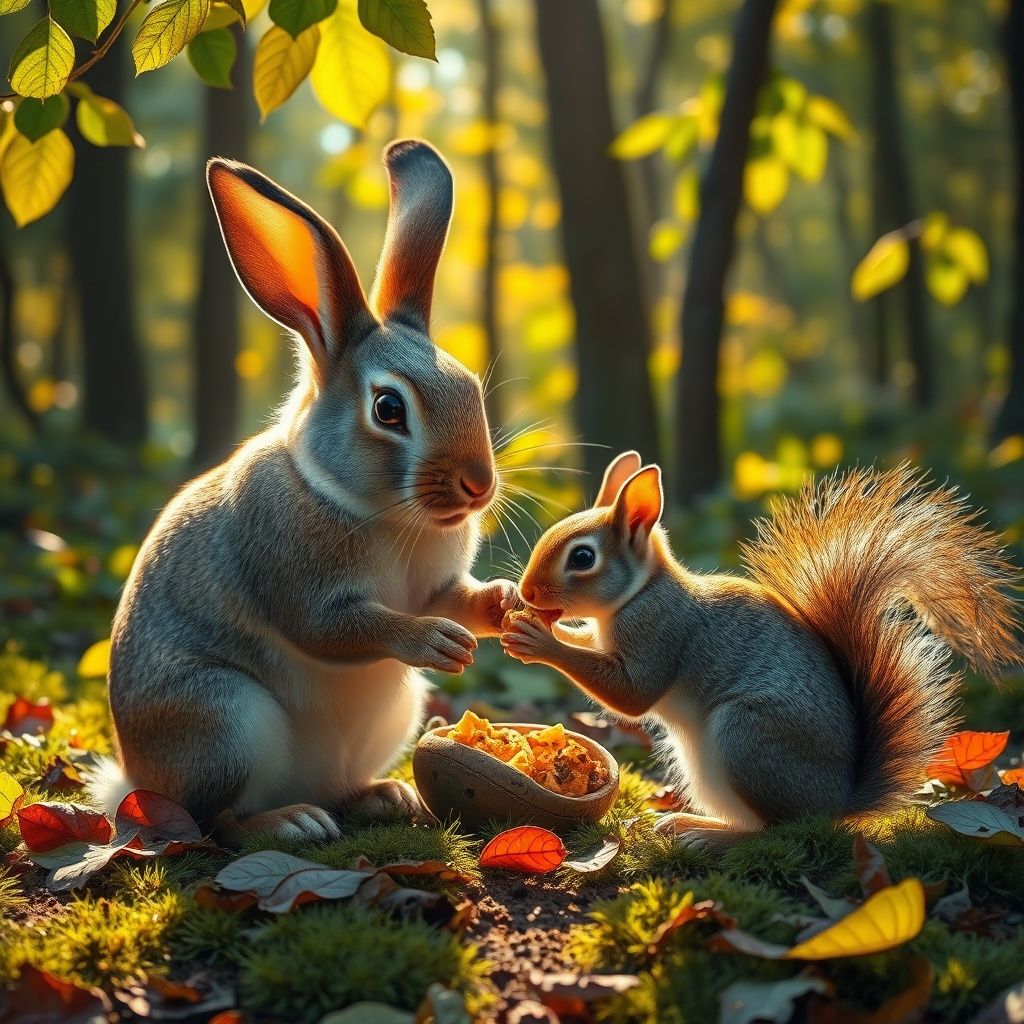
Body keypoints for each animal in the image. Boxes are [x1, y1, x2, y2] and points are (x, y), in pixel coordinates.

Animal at [91, 139, 516, 844]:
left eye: (470, 389)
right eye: (389, 409)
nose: (478, 485)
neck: (376, 508)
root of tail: (134, 781)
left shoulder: (435, 584)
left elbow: (453, 597)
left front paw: (502, 604)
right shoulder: (301, 585)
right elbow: (339, 627)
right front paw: (435, 642)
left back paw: (383, 797)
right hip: (225, 717)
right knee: (216, 820)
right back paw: (290, 824)